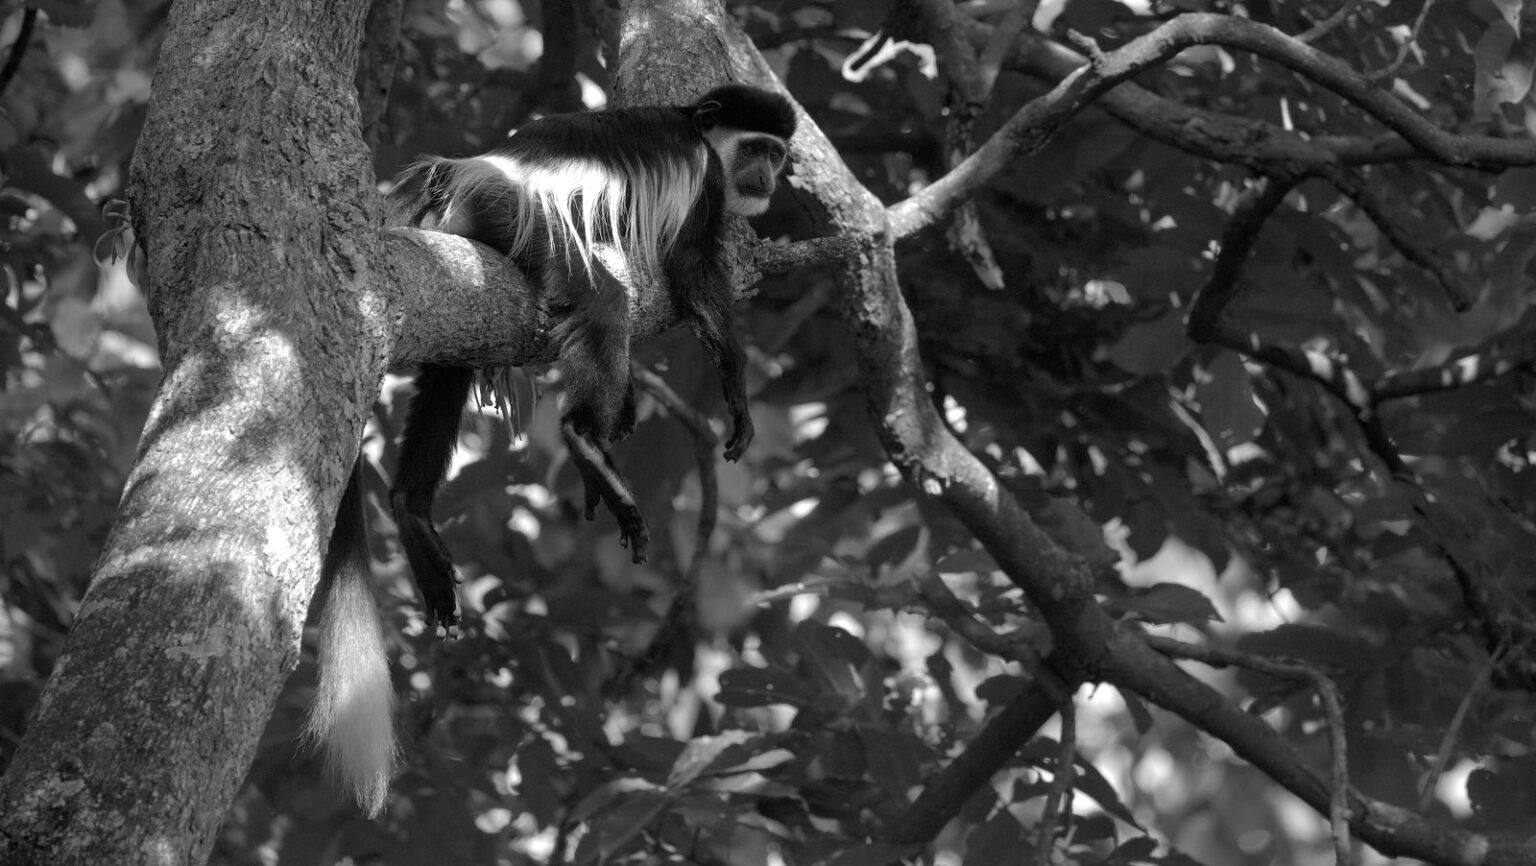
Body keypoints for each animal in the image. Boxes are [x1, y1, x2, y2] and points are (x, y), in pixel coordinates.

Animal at [307, 84, 797, 816]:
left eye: (777, 153)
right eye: (758, 149)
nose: (767, 175)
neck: (696, 127)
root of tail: (459, 170)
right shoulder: (705, 181)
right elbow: (692, 273)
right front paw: (733, 387)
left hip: (469, 272)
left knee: (451, 368)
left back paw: (414, 511)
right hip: (521, 219)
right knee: (601, 299)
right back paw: (585, 440)